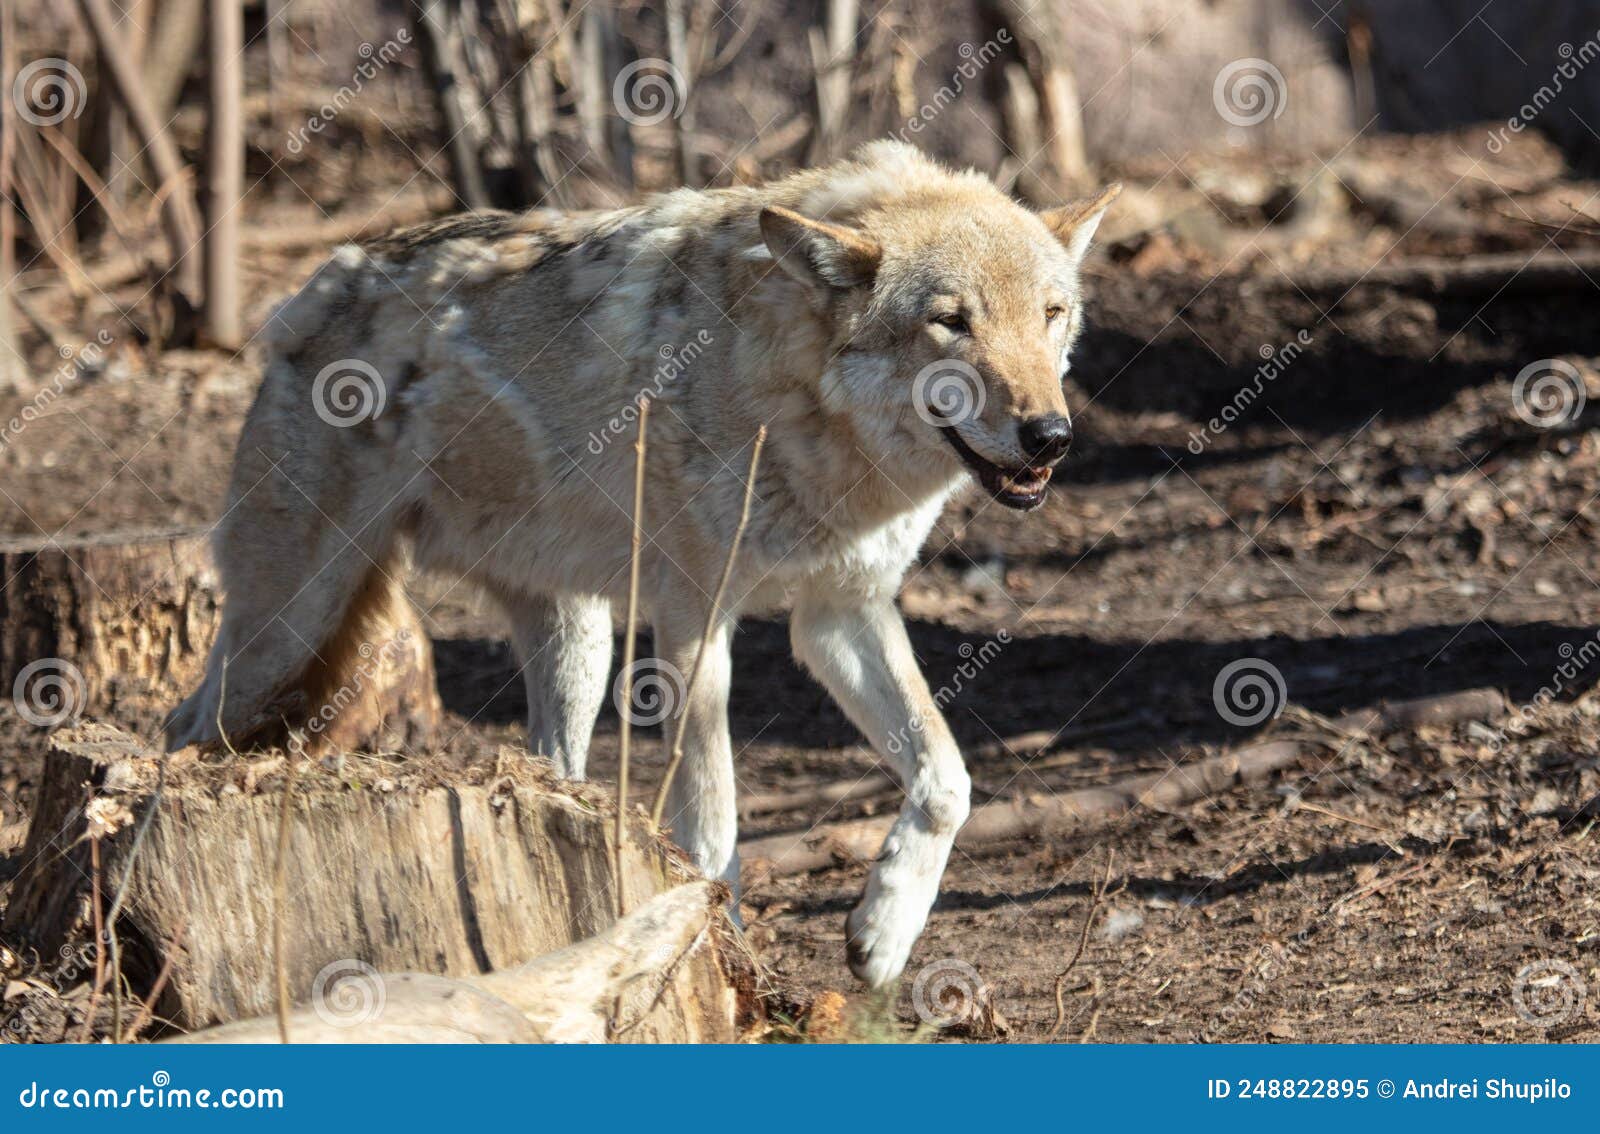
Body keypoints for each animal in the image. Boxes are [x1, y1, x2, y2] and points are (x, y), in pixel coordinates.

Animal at [165, 141, 1118, 988]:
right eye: (951, 321)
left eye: (1050, 315)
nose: (1051, 437)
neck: (798, 400)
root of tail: (315, 285)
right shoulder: (696, 620)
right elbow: (716, 825)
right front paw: (727, 953)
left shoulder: (839, 613)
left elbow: (948, 778)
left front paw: (881, 936)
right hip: (288, 633)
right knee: (183, 729)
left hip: (577, 651)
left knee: (554, 773)